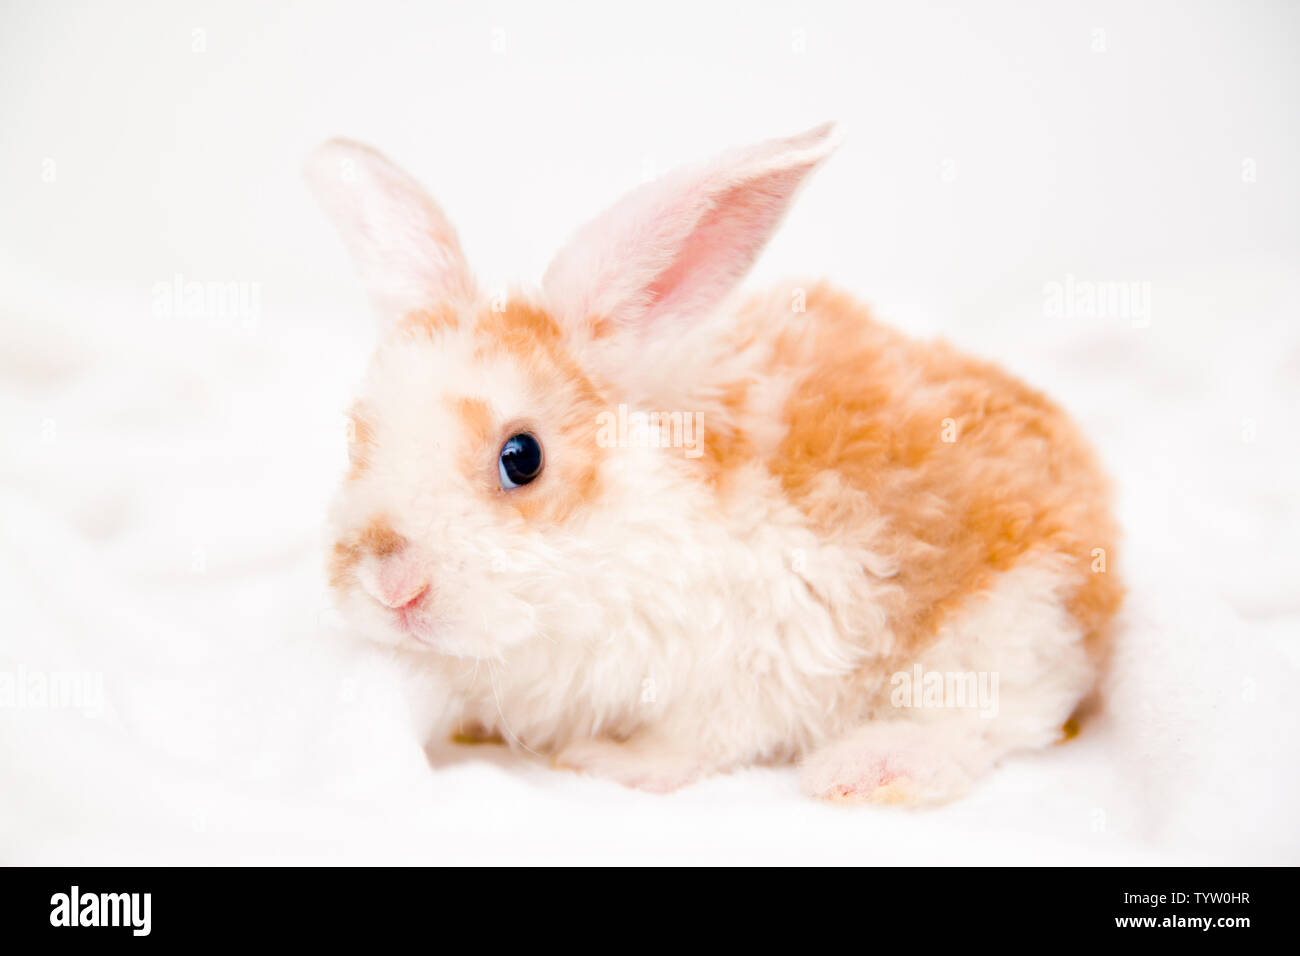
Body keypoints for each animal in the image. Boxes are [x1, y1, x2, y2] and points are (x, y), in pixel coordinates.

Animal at [305, 123, 1123, 805]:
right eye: (358, 438)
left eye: (522, 457)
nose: (391, 584)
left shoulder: (755, 658)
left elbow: (695, 743)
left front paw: (611, 764)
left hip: (1003, 625)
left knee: (988, 723)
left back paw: (865, 771)